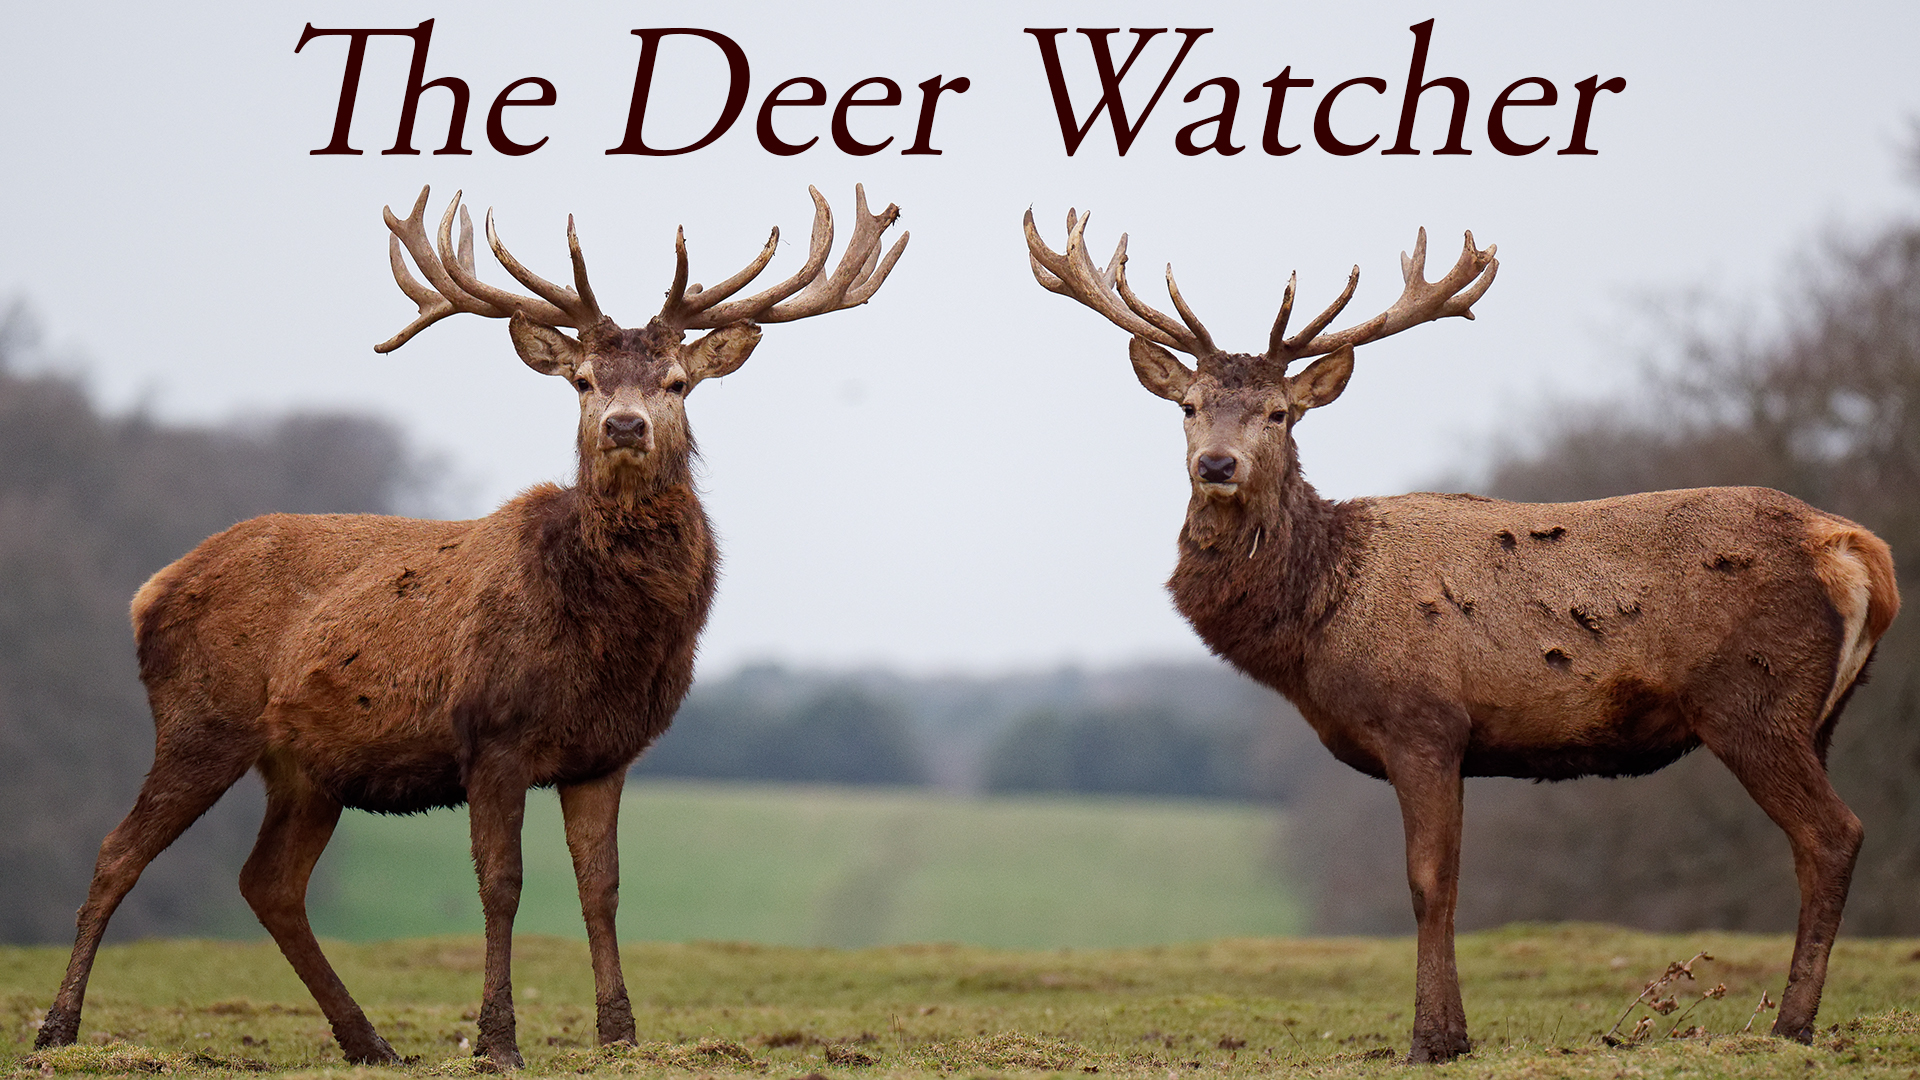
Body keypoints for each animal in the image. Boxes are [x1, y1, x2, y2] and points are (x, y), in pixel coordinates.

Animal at [36, 184, 907, 1070]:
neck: (604, 642)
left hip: (307, 769)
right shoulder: (493, 735)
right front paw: (497, 1042)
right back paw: (56, 1029)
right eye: (582, 381)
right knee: (118, 852)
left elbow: (602, 887)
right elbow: (503, 886)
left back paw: (370, 1042)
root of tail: (149, 591)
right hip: (202, 719)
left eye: (676, 382)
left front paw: (620, 1035)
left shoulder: (606, 753)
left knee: (268, 882)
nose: (625, 426)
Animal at [1025, 209, 1899, 1063]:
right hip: (1821, 713)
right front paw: (1447, 1032)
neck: (1321, 615)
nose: (1216, 465)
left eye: (1279, 412)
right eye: (1188, 406)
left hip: (1753, 699)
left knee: (1835, 834)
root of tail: (1857, 549)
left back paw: (1792, 1027)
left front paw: (1435, 1039)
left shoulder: (1424, 720)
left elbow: (1428, 883)